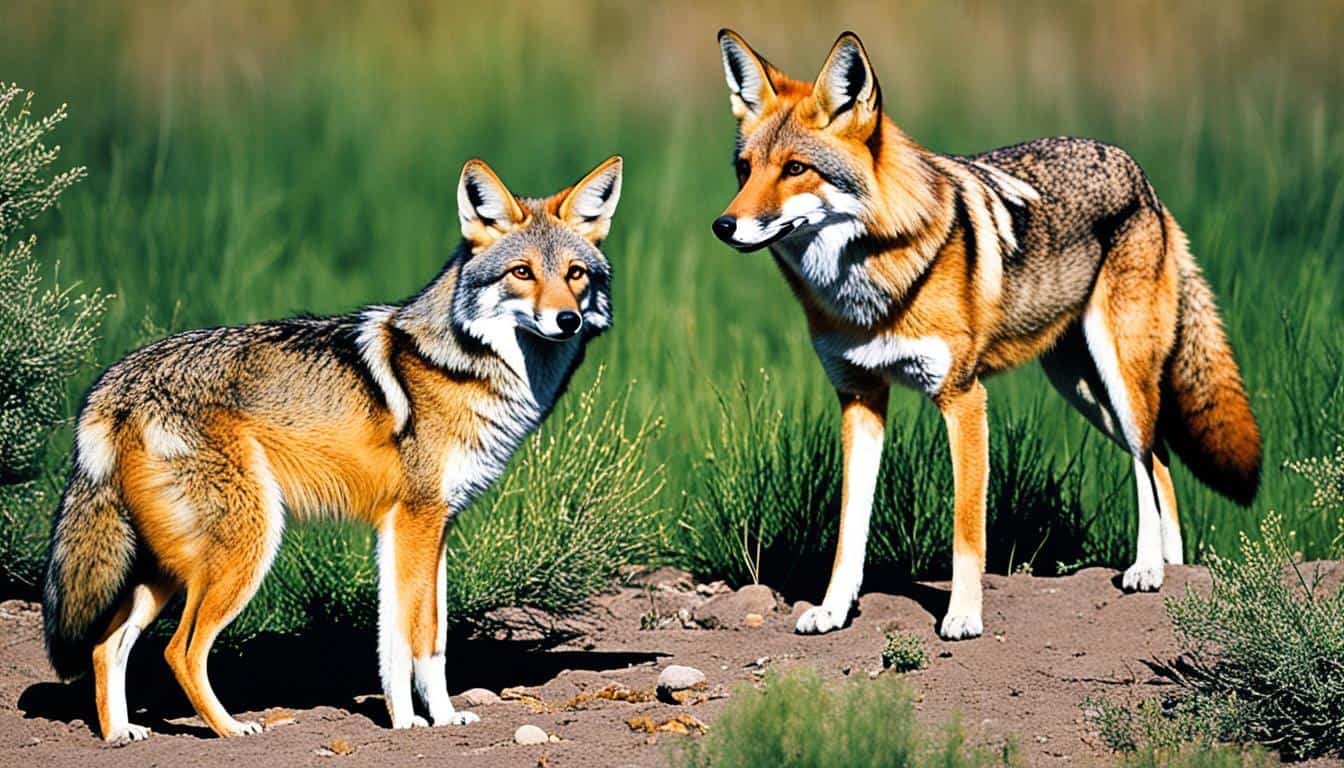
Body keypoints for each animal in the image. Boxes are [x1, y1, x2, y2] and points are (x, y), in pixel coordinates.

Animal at [41, 155, 623, 741]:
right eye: (522, 273)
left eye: (575, 274)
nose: (567, 319)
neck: (466, 365)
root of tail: (115, 383)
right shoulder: (417, 523)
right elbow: (419, 638)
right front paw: (423, 721)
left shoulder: (421, 530)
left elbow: (409, 642)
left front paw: (418, 718)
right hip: (242, 553)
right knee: (179, 651)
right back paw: (231, 729)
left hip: (168, 570)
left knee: (105, 646)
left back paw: (119, 733)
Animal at [711, 29, 1261, 641]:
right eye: (745, 169)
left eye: (795, 169)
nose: (723, 226)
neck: (865, 287)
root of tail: (1142, 178)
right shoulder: (859, 398)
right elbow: (849, 532)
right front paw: (832, 611)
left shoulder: (963, 398)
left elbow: (966, 529)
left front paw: (963, 616)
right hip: (1084, 391)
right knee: (1161, 457)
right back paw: (1172, 564)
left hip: (1119, 377)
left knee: (1147, 458)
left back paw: (1147, 568)